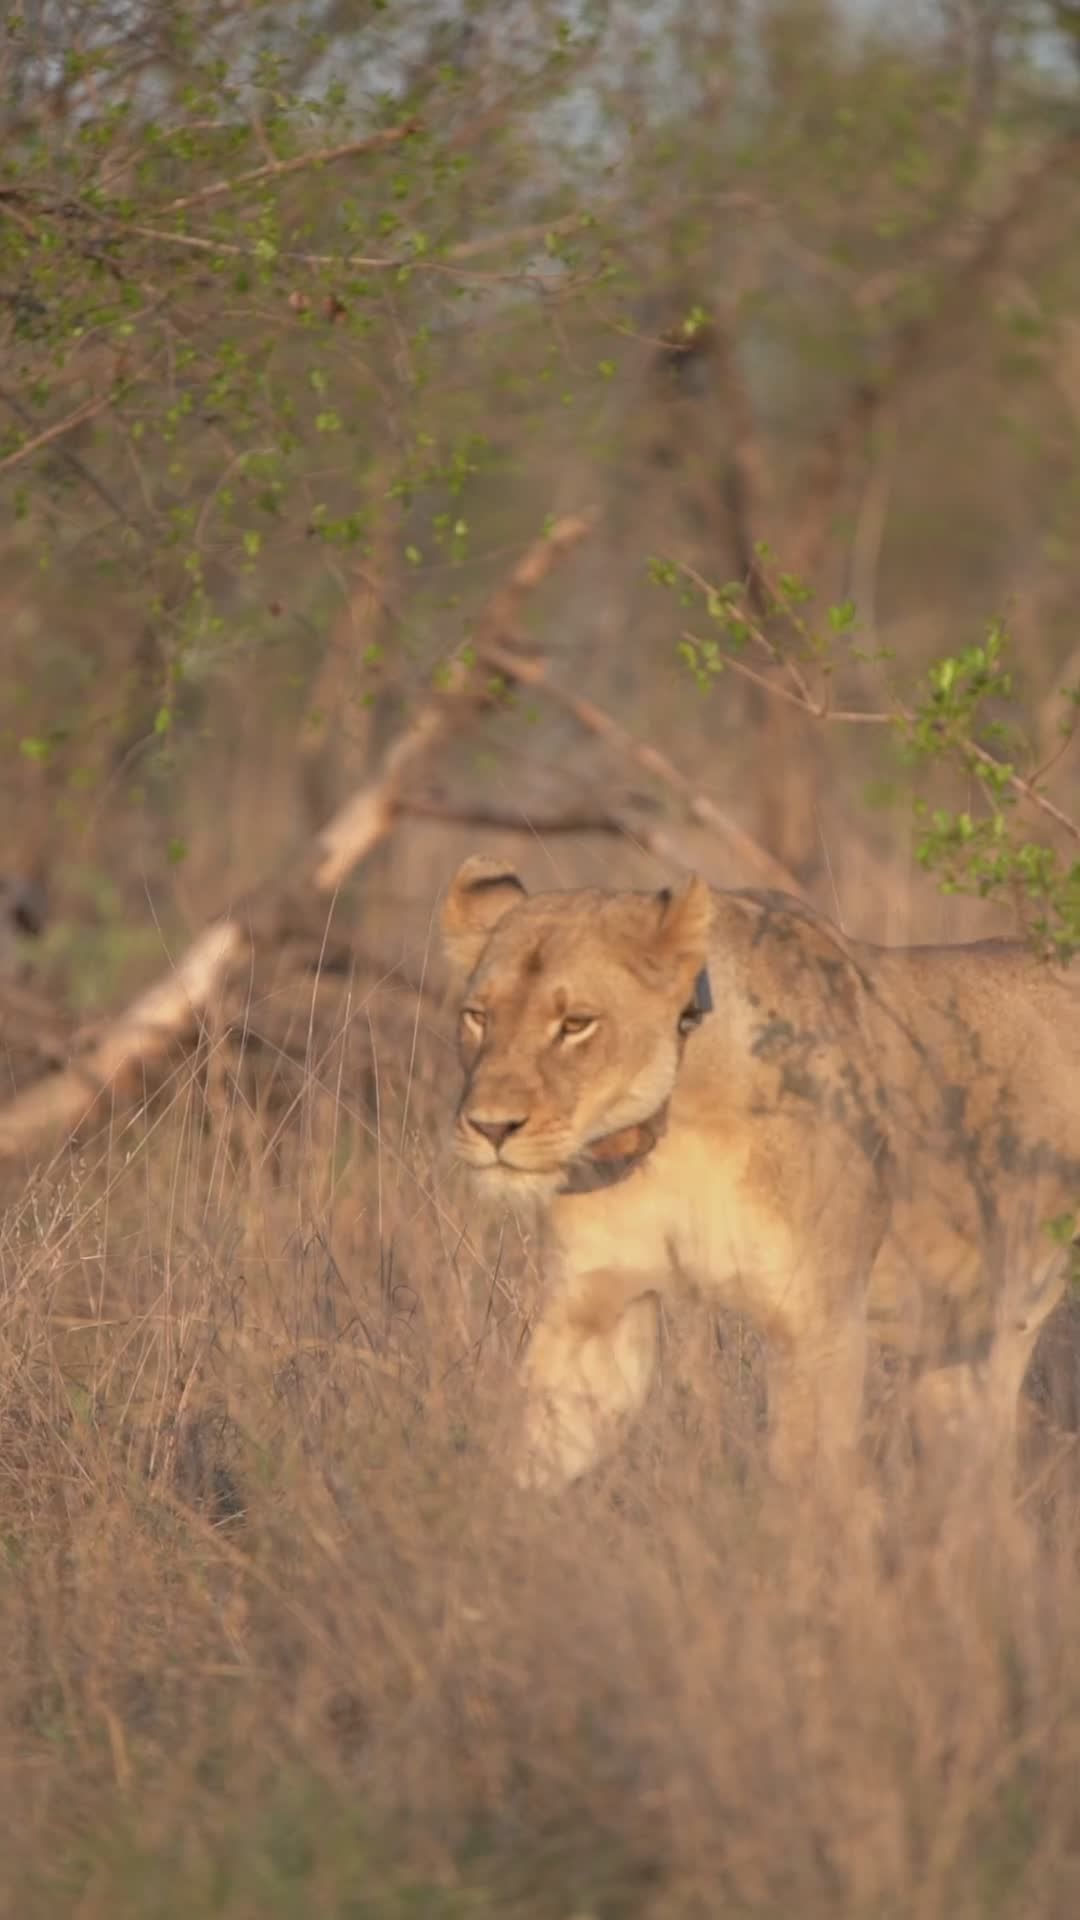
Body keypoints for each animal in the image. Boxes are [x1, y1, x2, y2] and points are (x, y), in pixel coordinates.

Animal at [441, 856, 1080, 1494]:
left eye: (576, 1023)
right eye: (477, 1017)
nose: (490, 1127)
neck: (672, 1130)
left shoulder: (819, 1322)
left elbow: (809, 1485)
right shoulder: (596, 1306)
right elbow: (533, 1450)